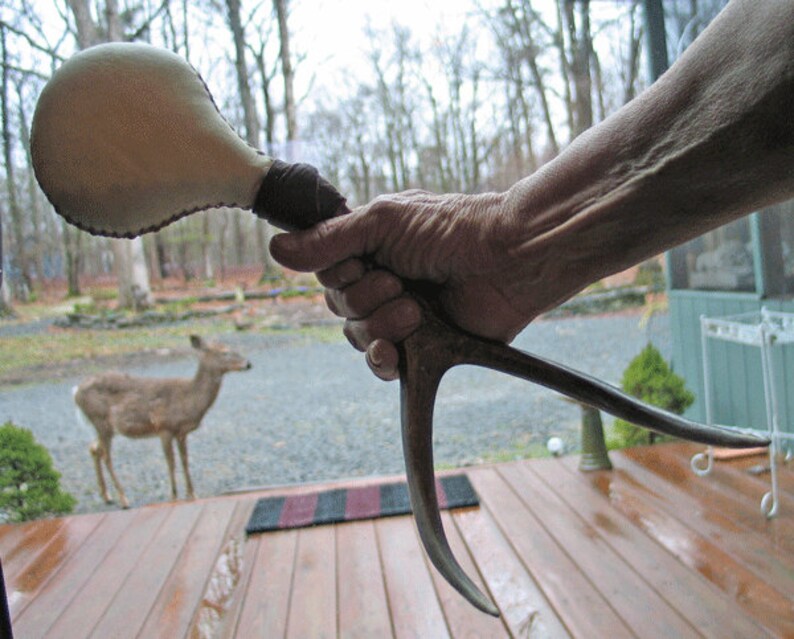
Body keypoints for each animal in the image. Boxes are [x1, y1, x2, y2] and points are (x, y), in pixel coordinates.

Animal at [74, 335, 251, 508]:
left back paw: (107, 496)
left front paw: (192, 494)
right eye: (225, 352)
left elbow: (185, 460)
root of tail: (76, 392)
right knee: (106, 456)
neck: (189, 398)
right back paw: (123, 499)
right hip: (101, 420)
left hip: (103, 427)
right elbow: (171, 462)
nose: (248, 364)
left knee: (94, 449)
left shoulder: (181, 432)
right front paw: (173, 496)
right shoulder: (165, 428)